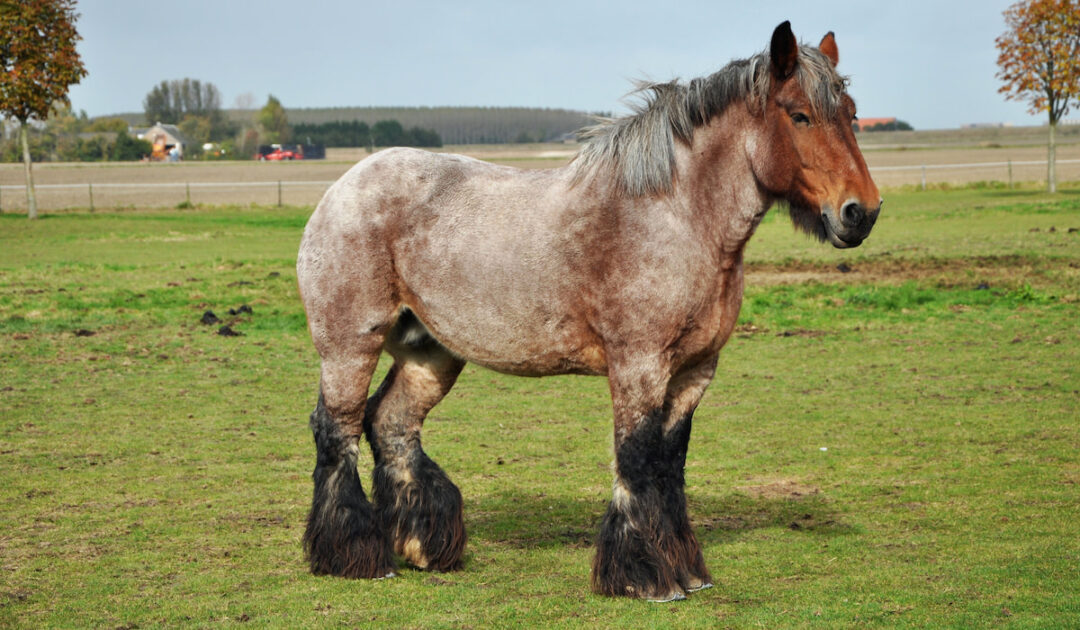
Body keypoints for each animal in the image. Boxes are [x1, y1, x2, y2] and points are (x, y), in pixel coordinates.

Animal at [296, 21, 880, 601]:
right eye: (799, 114)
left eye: (852, 114)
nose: (861, 212)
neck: (675, 218)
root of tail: (342, 188)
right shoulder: (639, 365)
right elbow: (638, 458)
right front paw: (647, 576)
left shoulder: (694, 371)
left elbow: (671, 464)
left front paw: (688, 571)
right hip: (350, 347)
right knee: (338, 431)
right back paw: (355, 555)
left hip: (429, 353)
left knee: (392, 425)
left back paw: (420, 547)